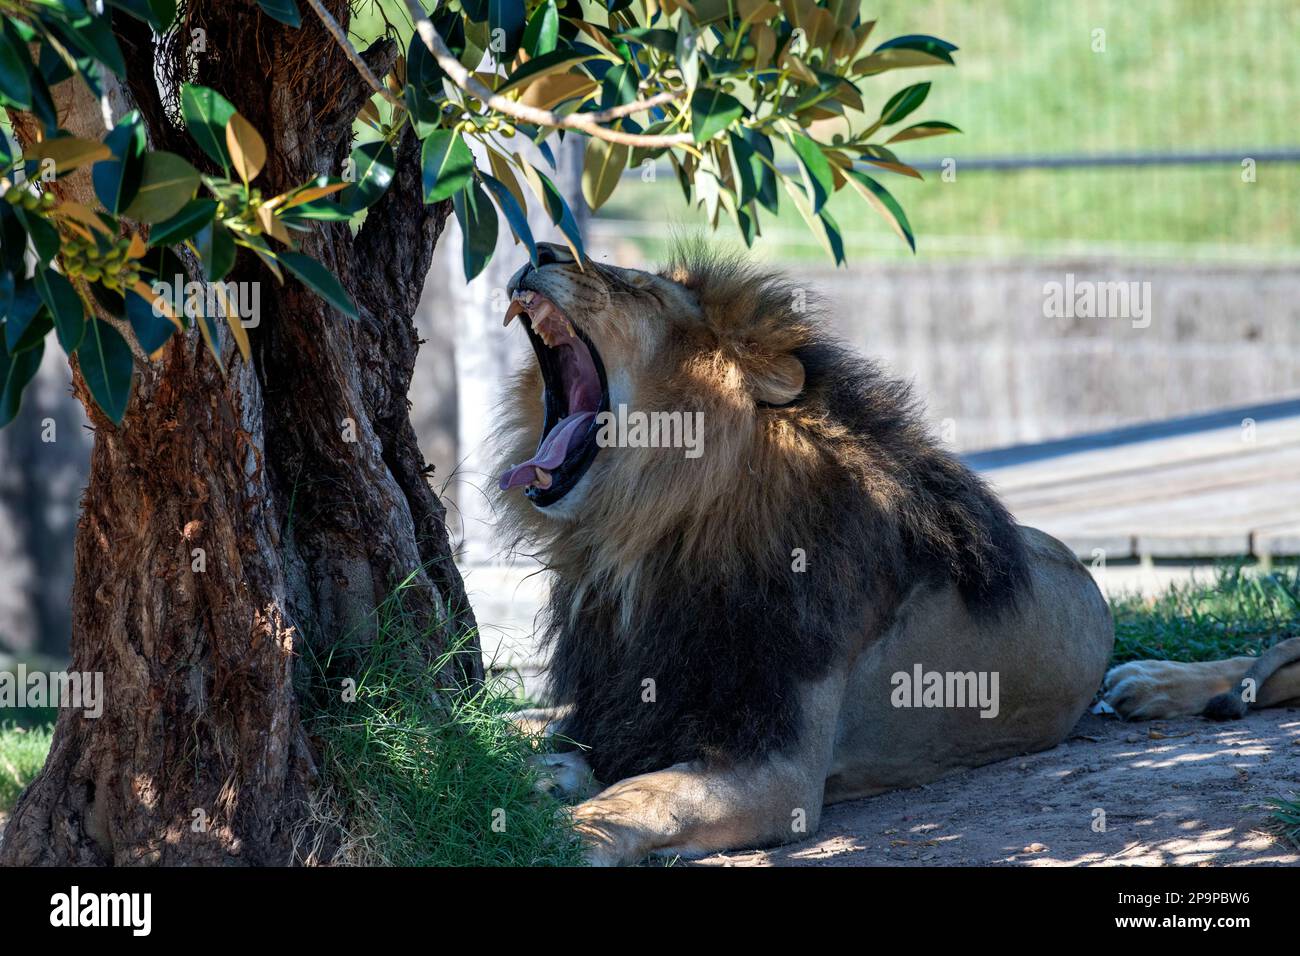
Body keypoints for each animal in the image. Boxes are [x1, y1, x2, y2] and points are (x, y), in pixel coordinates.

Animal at [495, 240, 1123, 866]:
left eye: (642, 290)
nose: (542, 247)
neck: (646, 543)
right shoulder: (611, 711)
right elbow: (544, 743)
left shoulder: (780, 767)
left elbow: (631, 799)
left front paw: (542, 836)